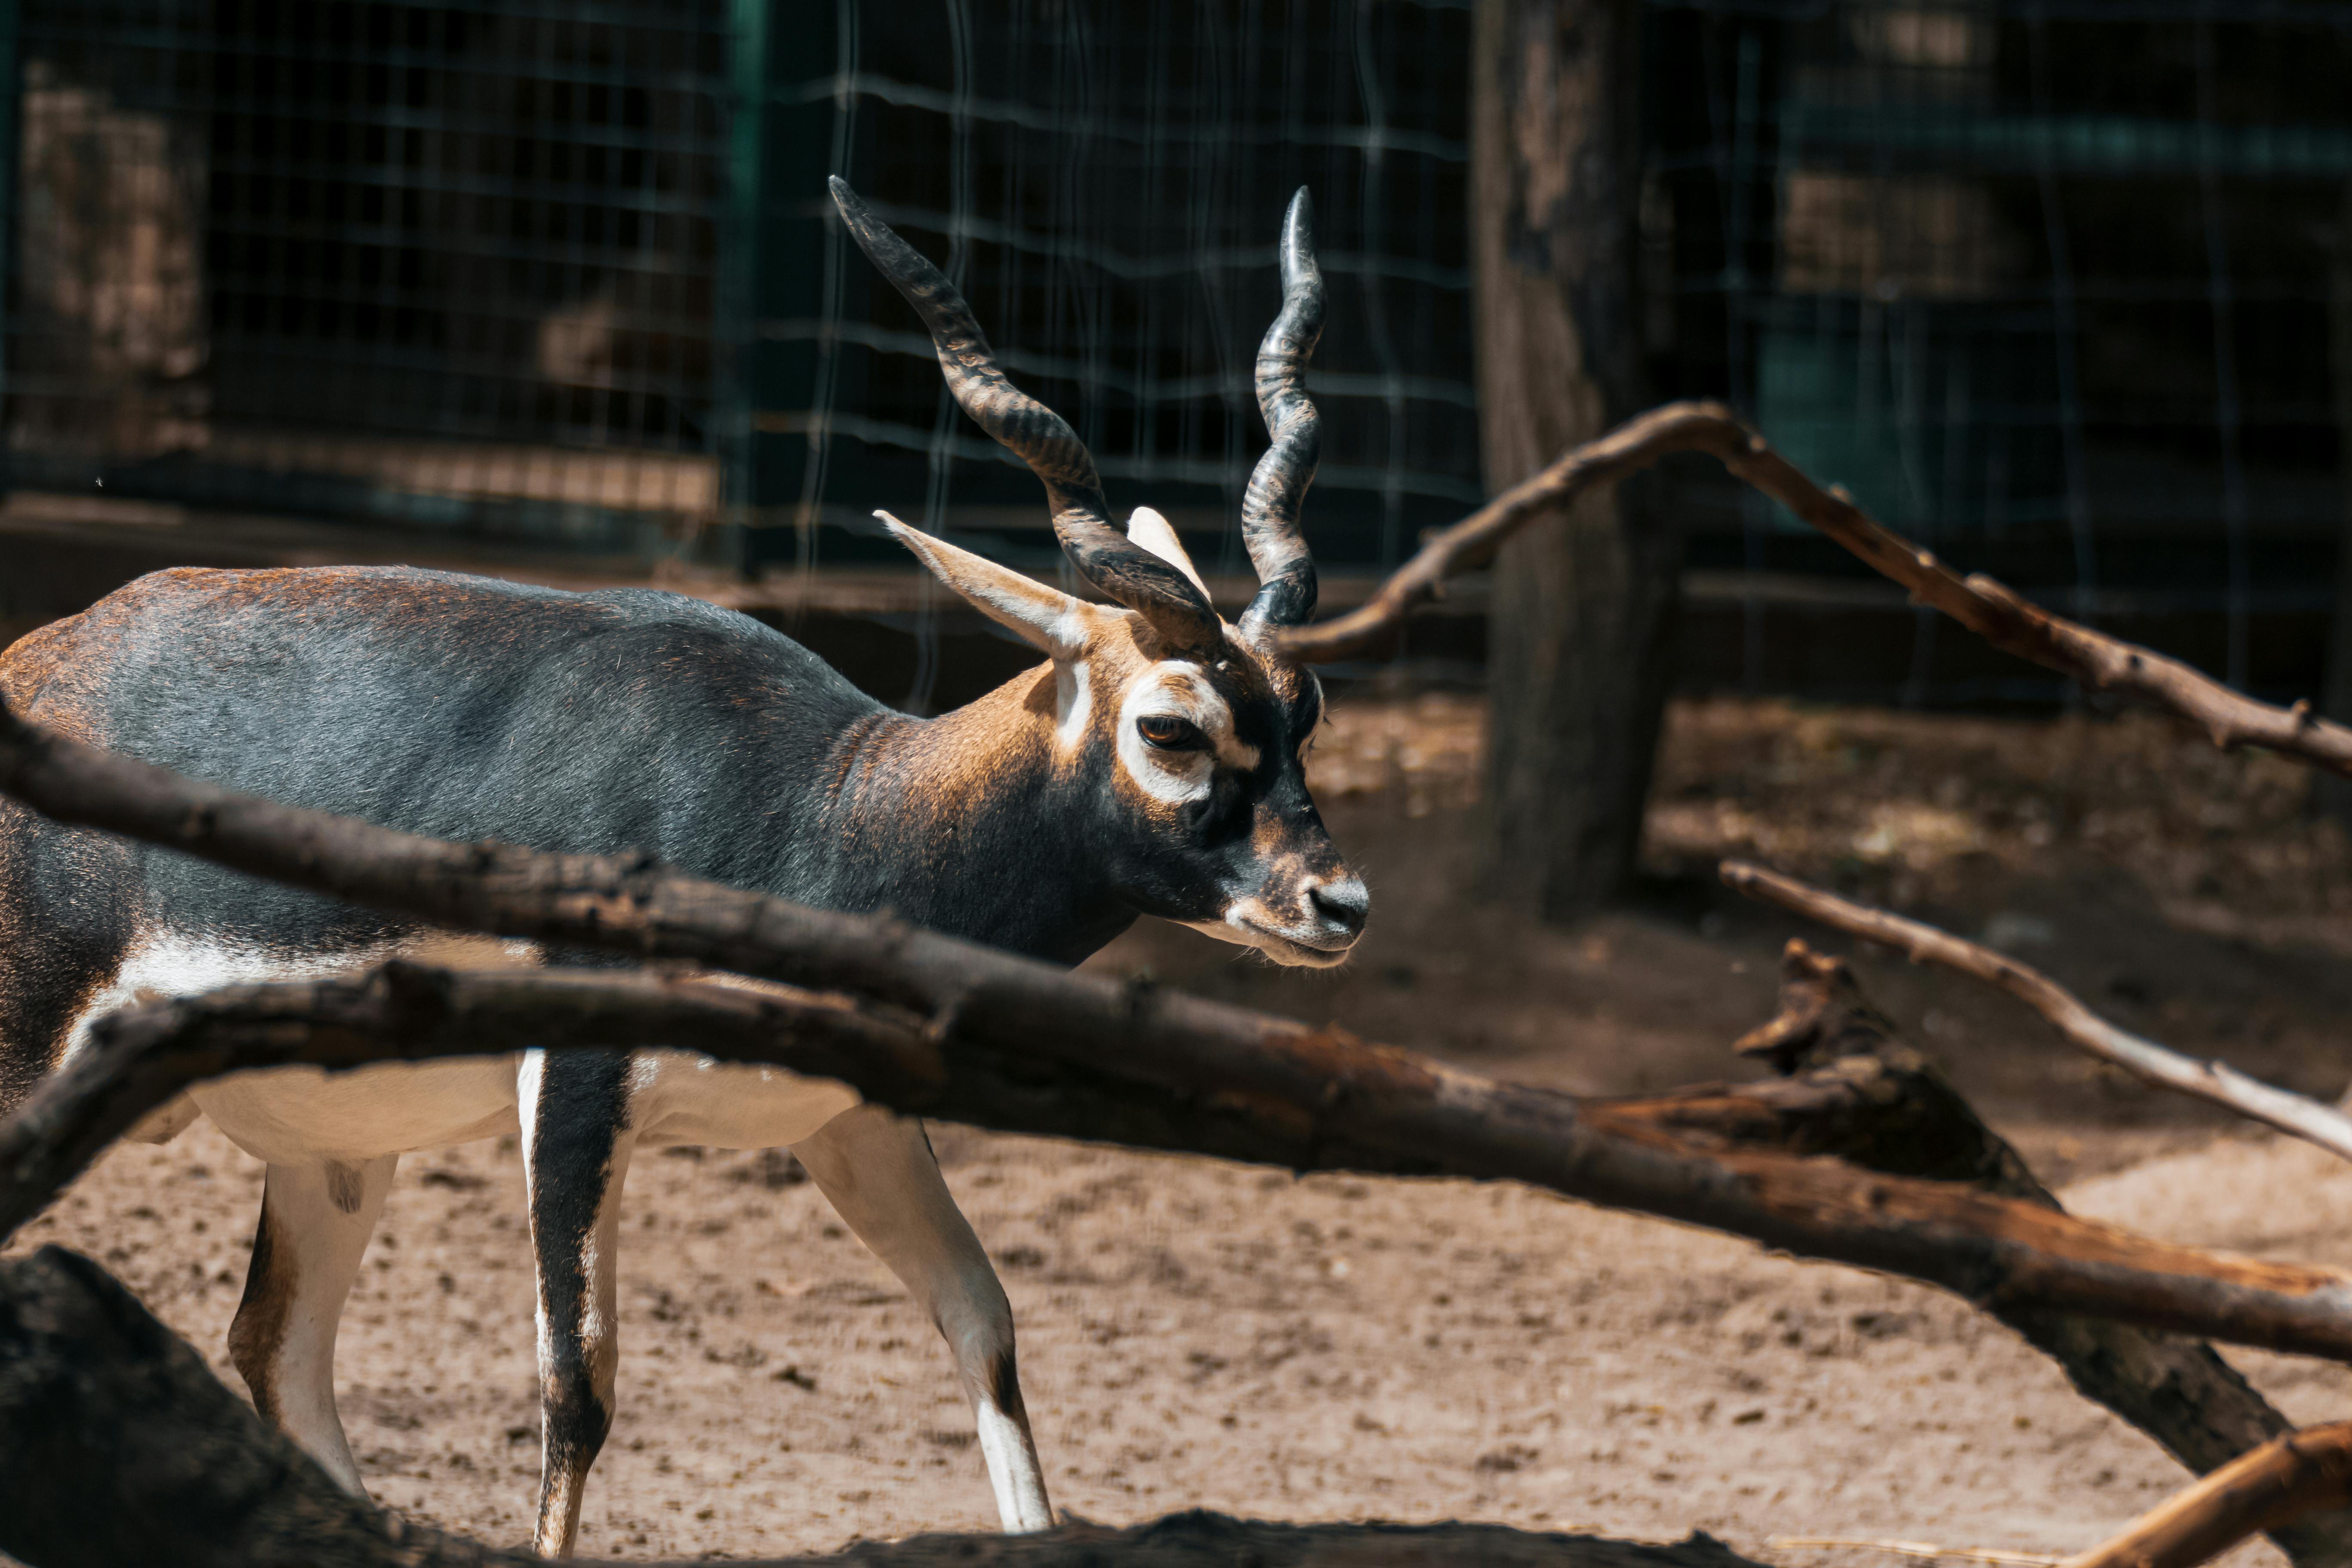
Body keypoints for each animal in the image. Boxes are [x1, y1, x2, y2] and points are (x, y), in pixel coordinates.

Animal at [0, 181, 1366, 1556]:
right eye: (1172, 727)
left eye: (1304, 707)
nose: (1339, 903)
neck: (829, 814)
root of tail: (33, 659)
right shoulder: (575, 1081)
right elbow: (577, 1392)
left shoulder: (849, 1117)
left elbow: (984, 1325)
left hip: (330, 1134)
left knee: (275, 1348)